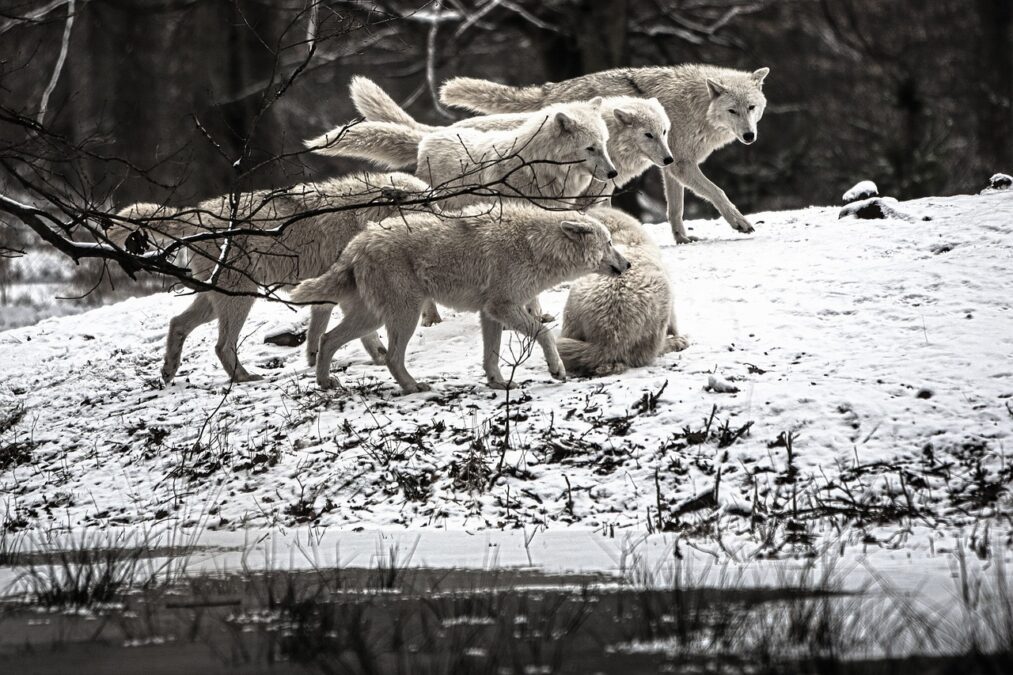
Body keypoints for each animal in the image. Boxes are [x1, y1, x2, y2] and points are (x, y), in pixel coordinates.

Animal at [108, 172, 432, 383]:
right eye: (427, 204)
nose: (440, 216)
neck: (363, 215)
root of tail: (194, 214)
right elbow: (364, 336)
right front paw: (377, 358)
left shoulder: (326, 296)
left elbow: (317, 335)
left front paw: (315, 362)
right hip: (240, 299)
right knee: (221, 345)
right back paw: (245, 377)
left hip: (217, 300)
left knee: (177, 324)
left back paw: (168, 371)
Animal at [289, 206, 630, 394]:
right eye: (609, 243)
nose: (628, 264)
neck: (535, 245)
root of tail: (357, 242)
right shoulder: (502, 307)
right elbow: (545, 332)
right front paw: (557, 370)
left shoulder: (490, 313)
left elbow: (491, 355)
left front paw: (498, 383)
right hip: (404, 316)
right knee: (391, 358)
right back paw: (413, 387)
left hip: (373, 318)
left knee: (329, 339)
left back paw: (325, 383)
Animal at [440, 64, 770, 244]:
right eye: (733, 110)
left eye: (752, 108)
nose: (750, 136)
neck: (696, 106)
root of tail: (552, 89)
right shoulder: (682, 164)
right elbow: (718, 192)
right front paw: (740, 223)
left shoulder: (670, 164)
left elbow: (675, 208)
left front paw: (682, 238)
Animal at [556, 206, 688, 377]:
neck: (623, 235)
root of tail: (606, 340)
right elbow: (674, 324)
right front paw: (677, 337)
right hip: (663, 296)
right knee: (650, 353)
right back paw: (676, 343)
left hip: (572, 303)